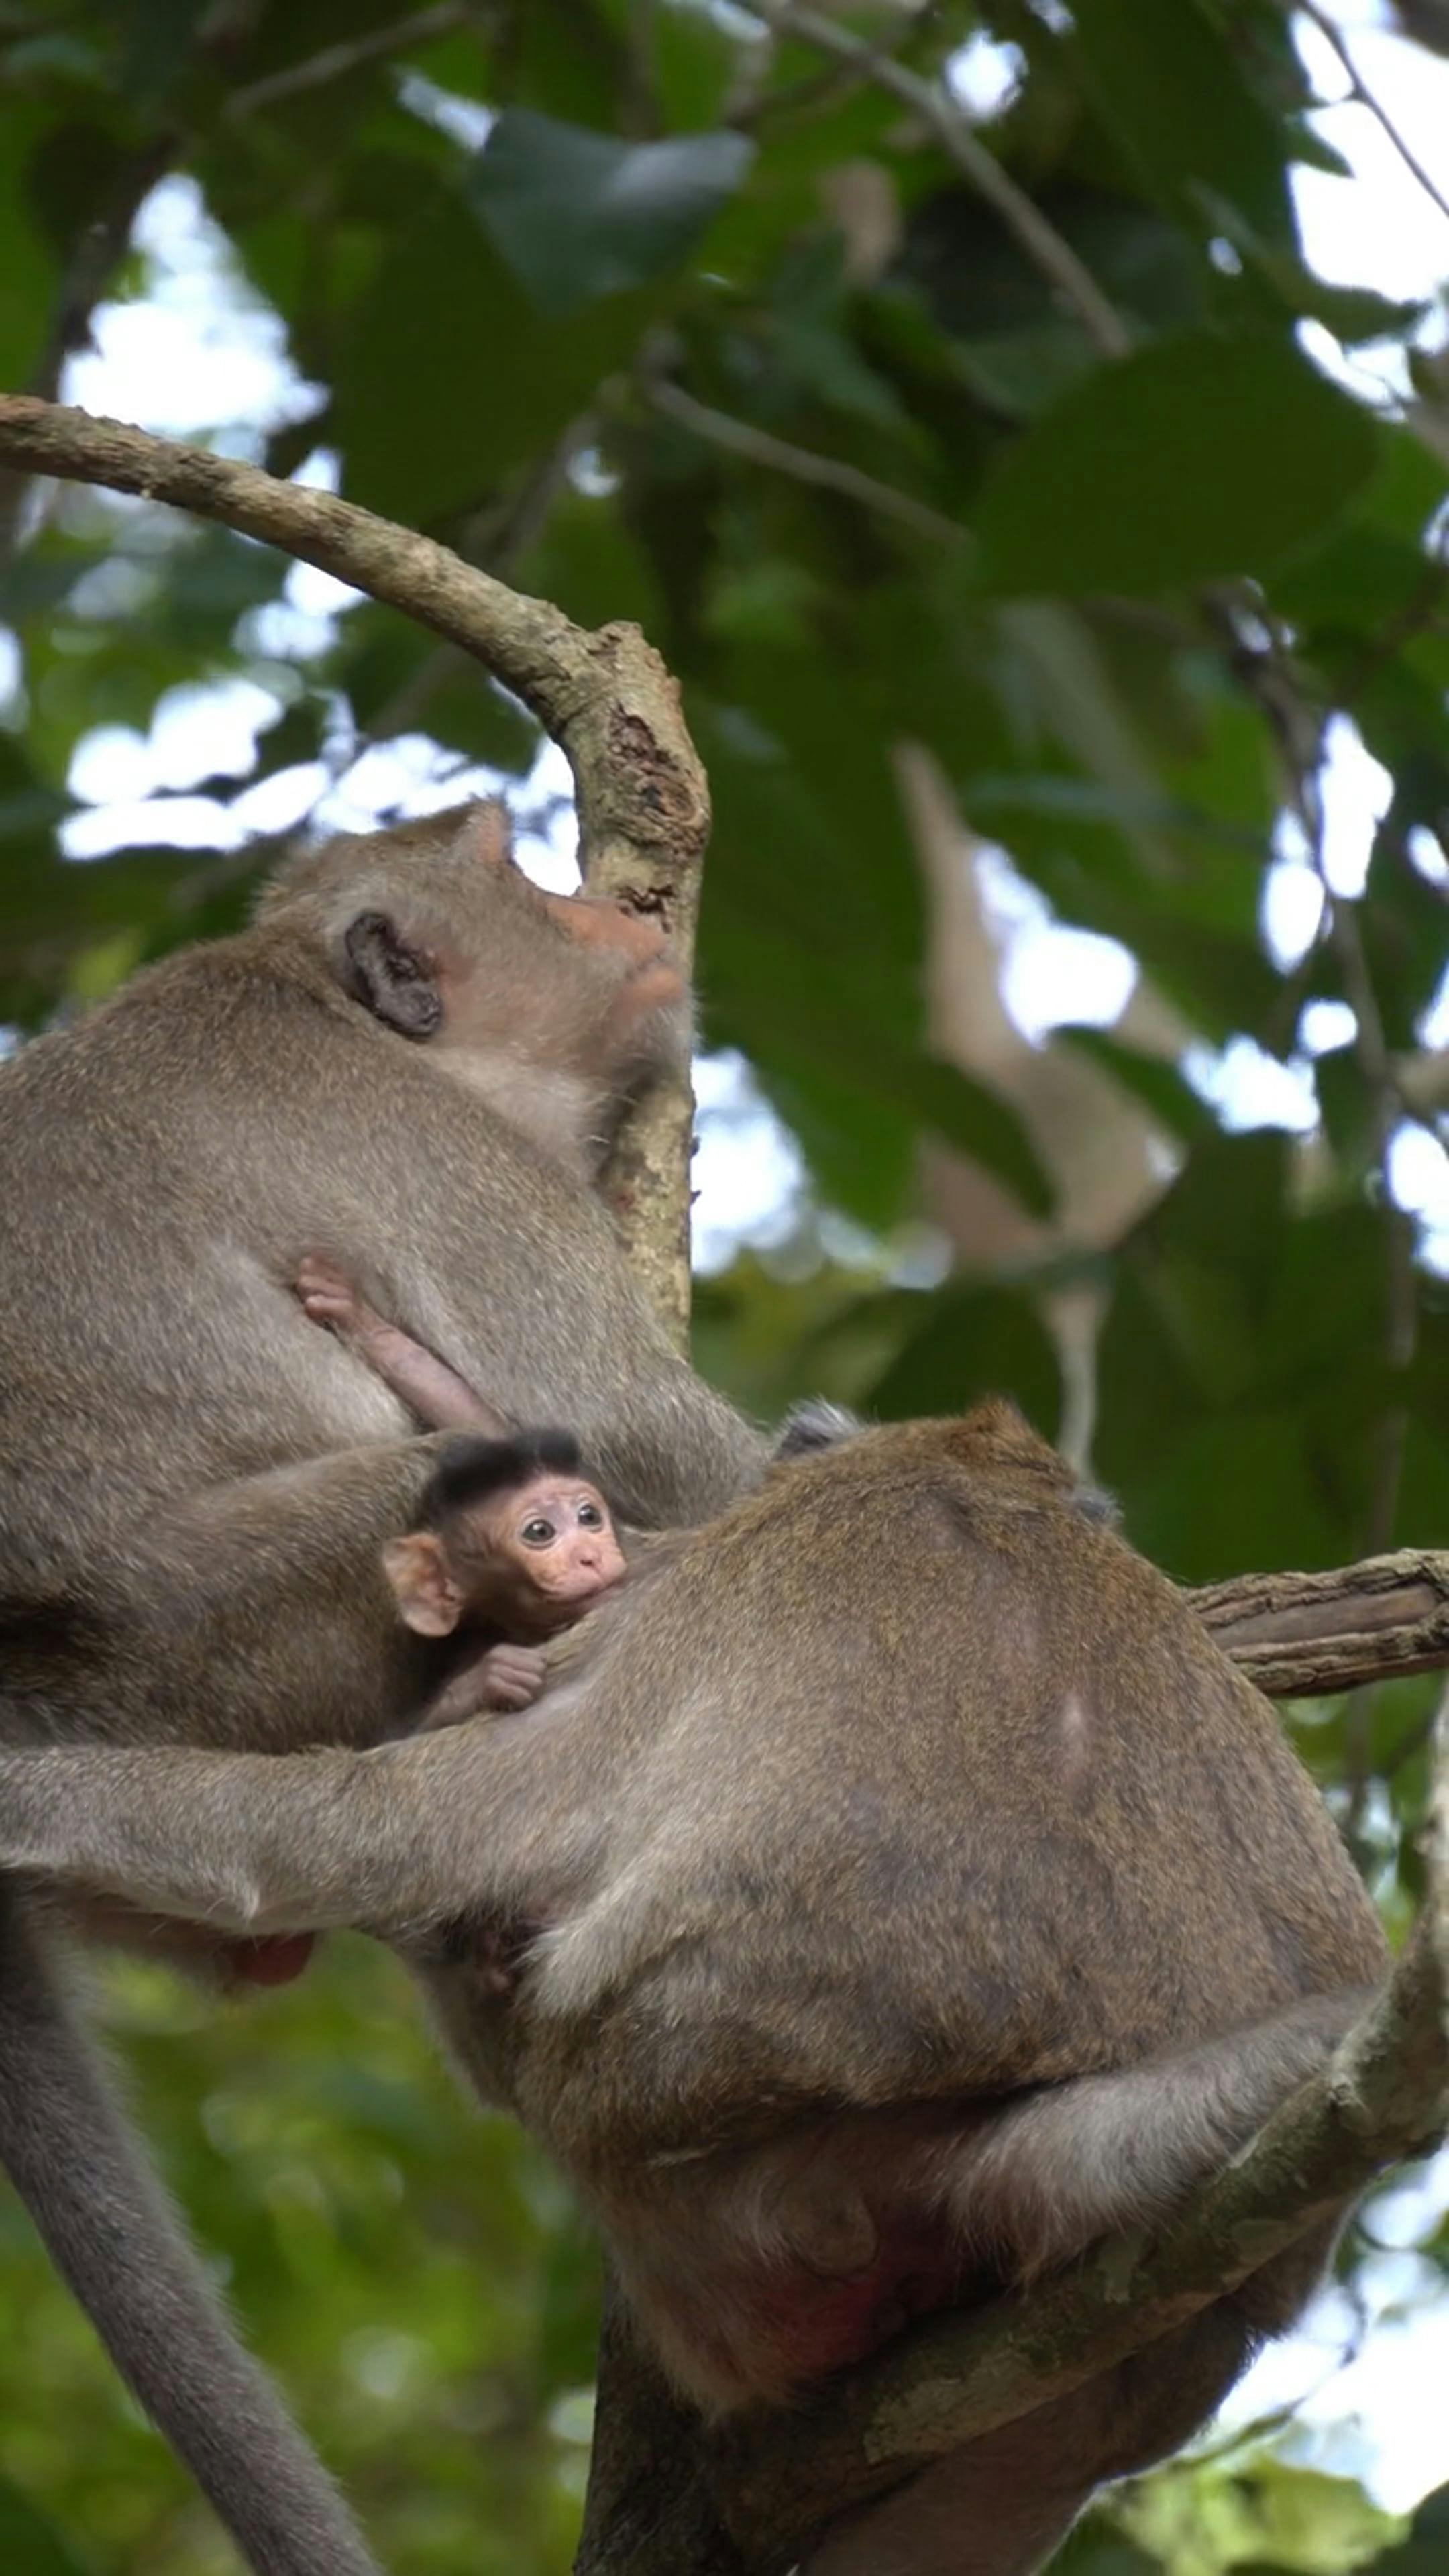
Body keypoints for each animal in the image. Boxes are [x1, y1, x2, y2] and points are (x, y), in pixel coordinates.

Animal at [0, 799, 766, 2576]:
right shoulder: (423, 1144)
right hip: (203, 1644)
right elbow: (631, 1426)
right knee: (433, 1485)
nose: (619, 915)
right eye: (502, 858)